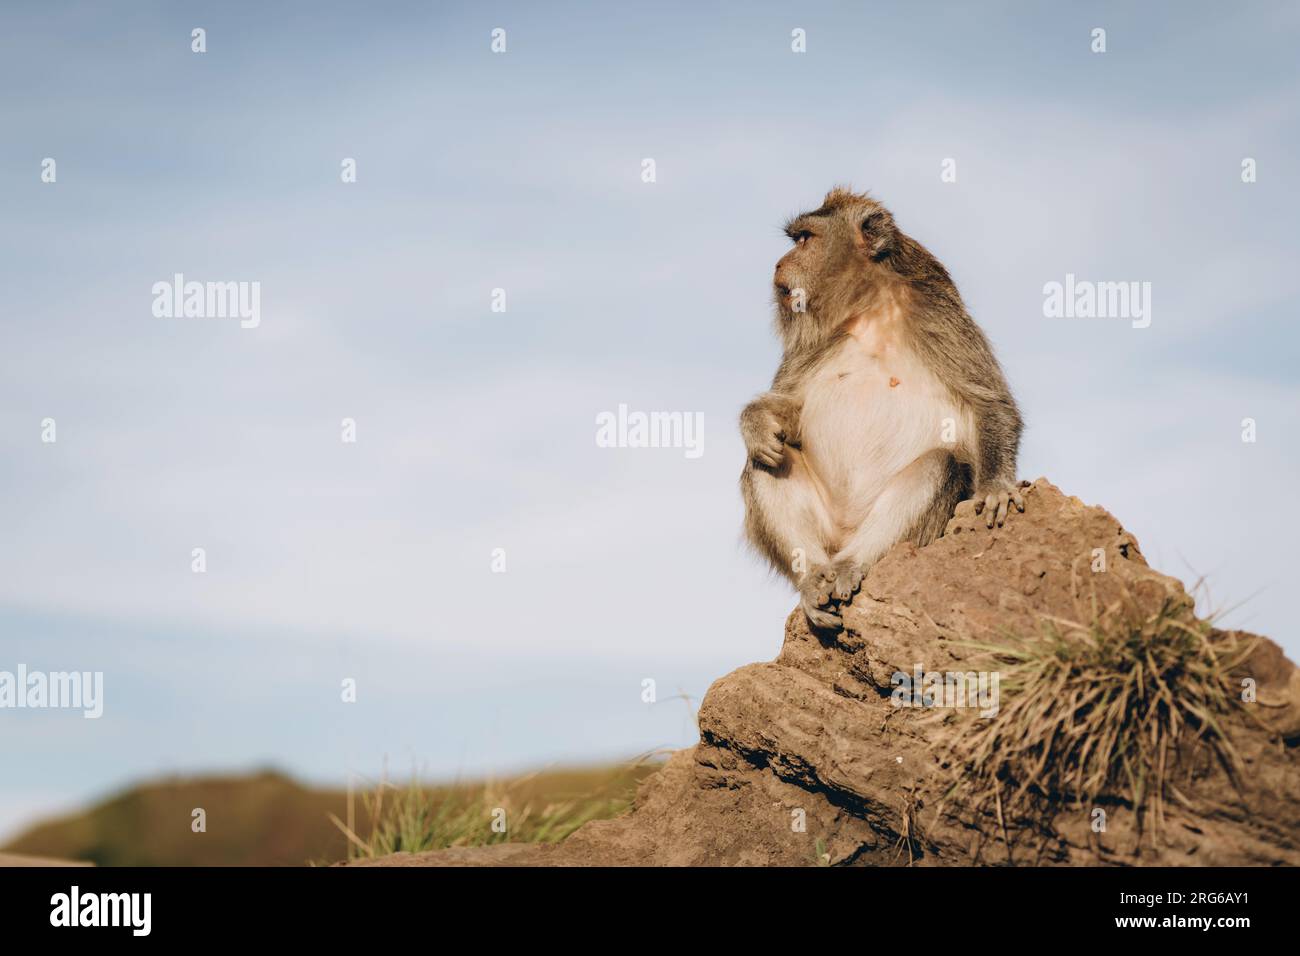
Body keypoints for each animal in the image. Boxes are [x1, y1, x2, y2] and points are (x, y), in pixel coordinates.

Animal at [740, 187, 1026, 630]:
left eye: (804, 239)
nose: (778, 264)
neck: (869, 309)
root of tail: (845, 539)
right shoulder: (812, 341)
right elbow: (790, 410)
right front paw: (755, 422)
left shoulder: (937, 313)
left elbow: (988, 401)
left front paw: (995, 486)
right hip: (825, 533)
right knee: (765, 460)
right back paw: (813, 577)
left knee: (940, 463)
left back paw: (853, 563)